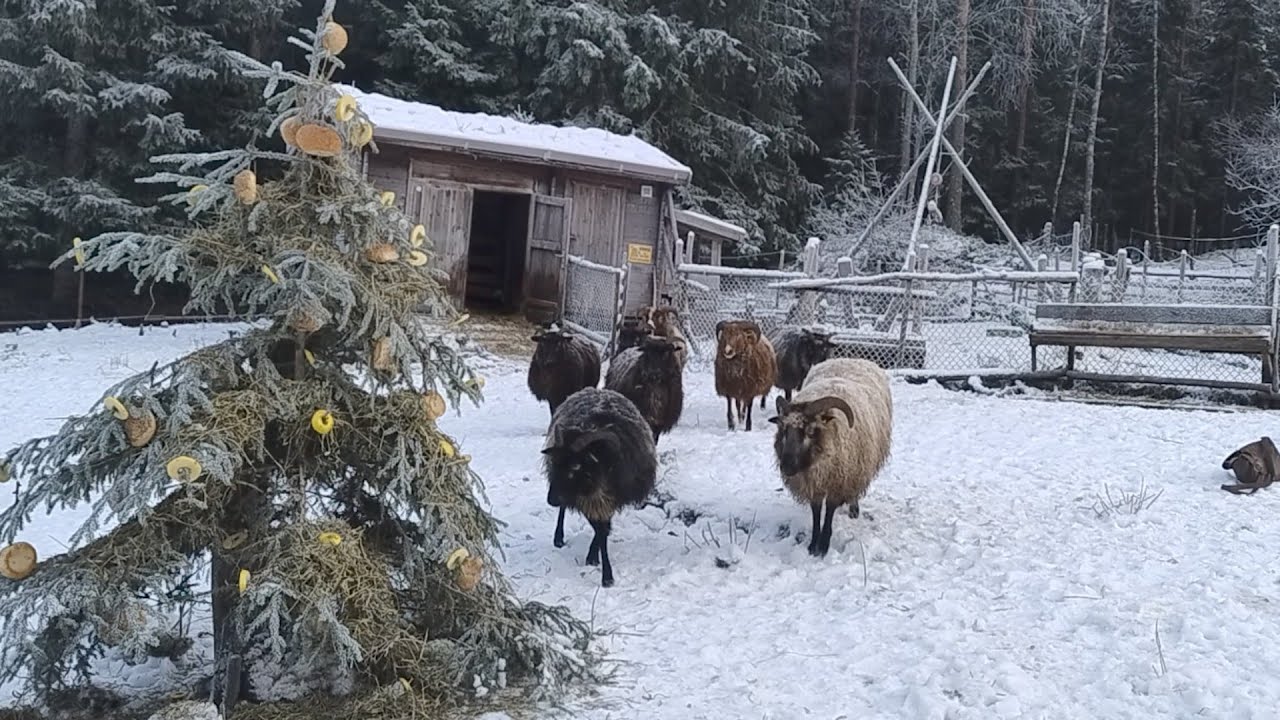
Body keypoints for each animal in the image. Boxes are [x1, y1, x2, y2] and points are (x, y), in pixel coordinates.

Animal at [542, 387, 657, 587]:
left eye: (575, 467)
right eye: (555, 463)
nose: (551, 500)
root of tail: (598, 390)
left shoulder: (609, 498)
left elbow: (603, 532)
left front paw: (603, 571)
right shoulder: (584, 499)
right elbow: (599, 530)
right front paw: (602, 569)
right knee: (564, 510)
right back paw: (559, 537)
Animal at [769, 358, 892, 557]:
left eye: (810, 431)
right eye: (784, 430)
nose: (786, 467)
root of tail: (849, 359)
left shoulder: (838, 480)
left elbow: (829, 512)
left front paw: (824, 545)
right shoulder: (814, 482)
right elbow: (816, 511)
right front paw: (813, 545)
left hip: (857, 467)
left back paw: (854, 509)